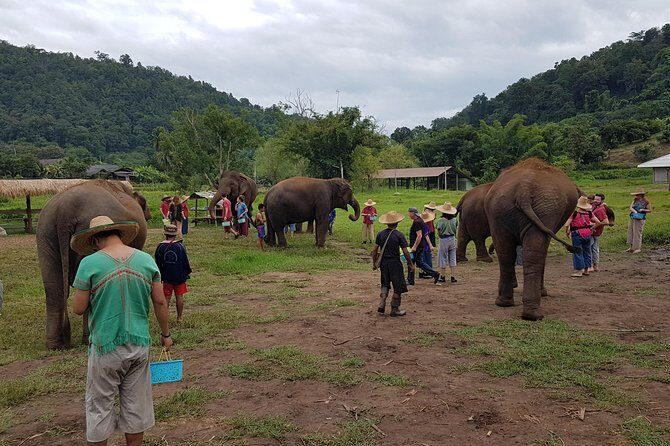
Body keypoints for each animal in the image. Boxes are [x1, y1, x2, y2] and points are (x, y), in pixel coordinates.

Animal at [37, 180, 151, 350]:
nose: (149, 216)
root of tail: (64, 209)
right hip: (86, 235)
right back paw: (88, 340)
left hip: (45, 232)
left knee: (53, 288)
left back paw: (56, 345)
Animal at [484, 158, 579, 321]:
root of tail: (524, 189)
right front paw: (544, 293)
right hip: (546, 210)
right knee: (534, 255)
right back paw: (534, 314)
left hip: (499, 210)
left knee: (505, 253)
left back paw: (506, 304)